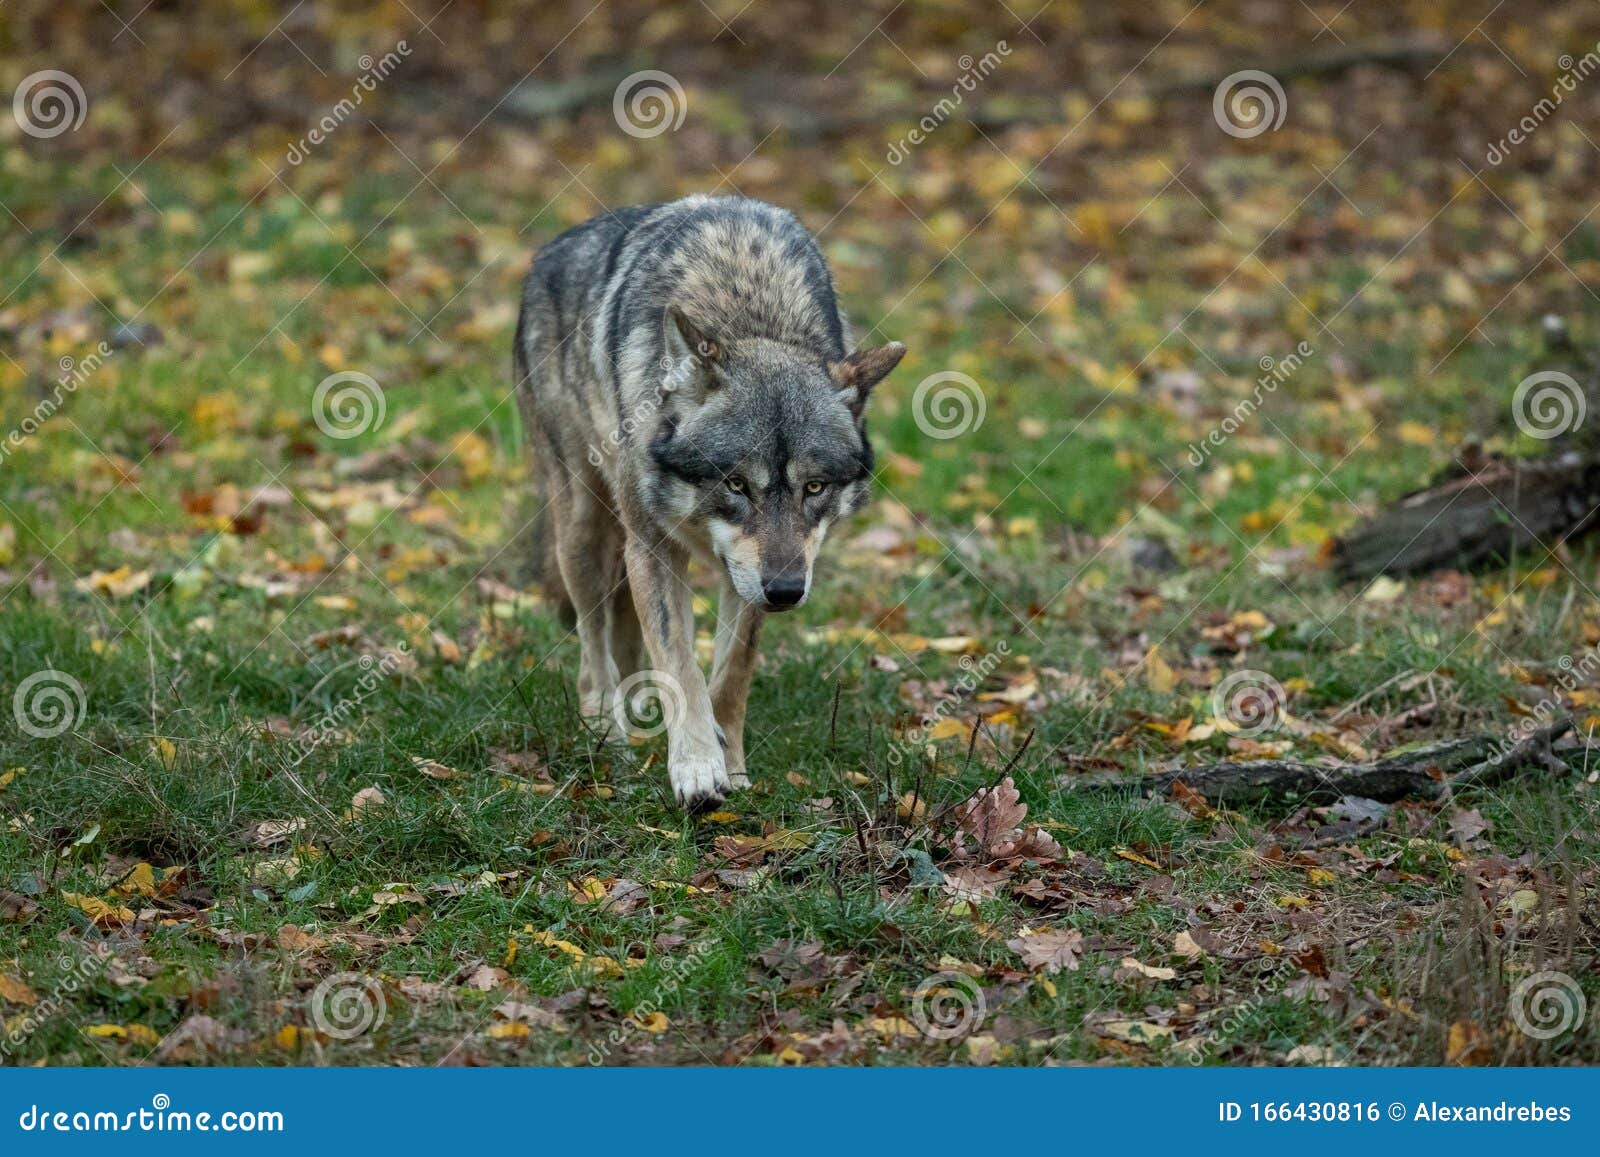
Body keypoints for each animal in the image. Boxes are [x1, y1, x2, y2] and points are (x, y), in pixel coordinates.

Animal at [514, 195, 907, 810]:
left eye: (814, 487)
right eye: (737, 484)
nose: (787, 593)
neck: (748, 309)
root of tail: (545, 253)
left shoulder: (750, 573)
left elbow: (730, 676)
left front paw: (735, 768)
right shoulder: (653, 549)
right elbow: (682, 666)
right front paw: (698, 768)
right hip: (583, 528)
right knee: (592, 646)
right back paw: (607, 735)